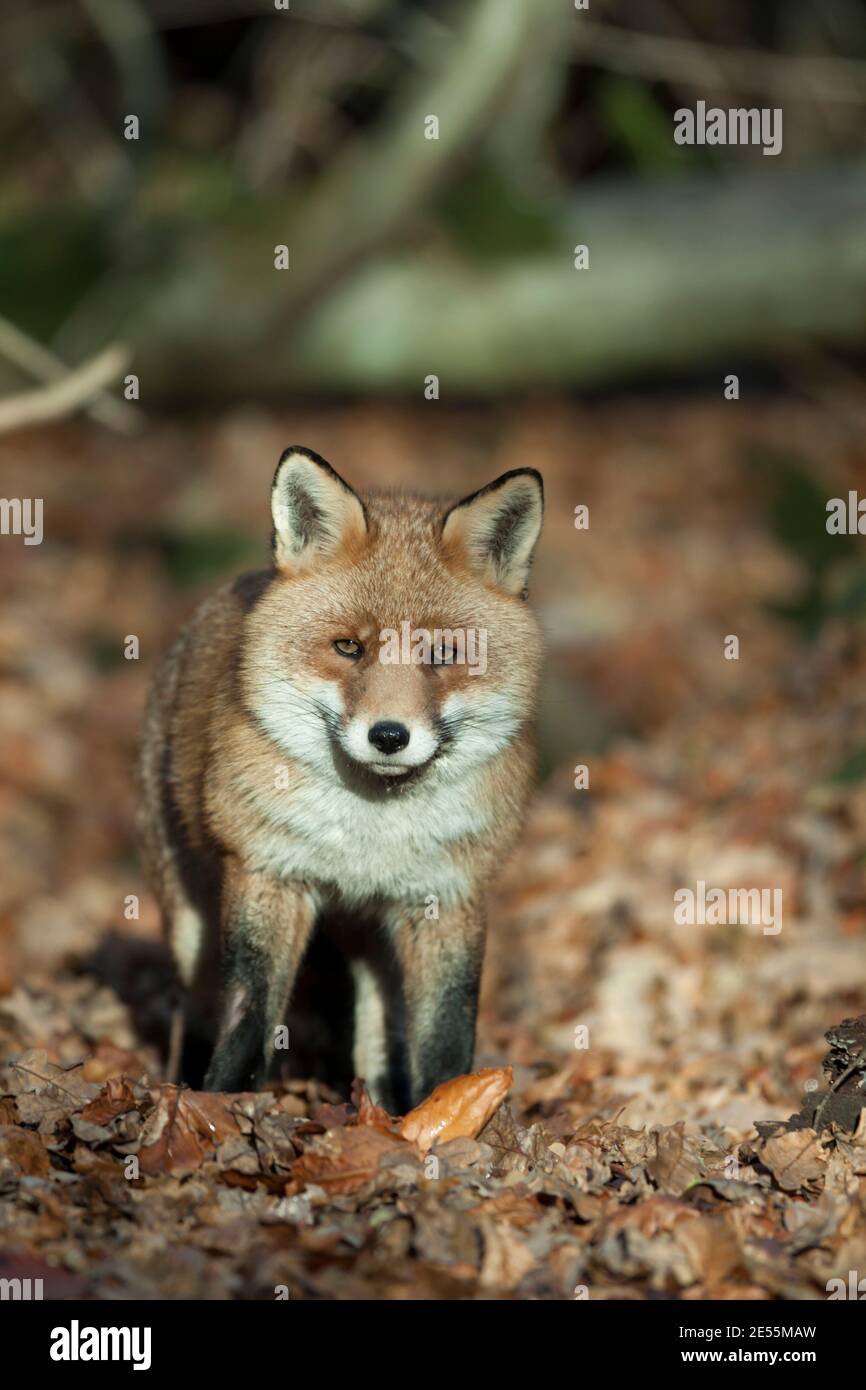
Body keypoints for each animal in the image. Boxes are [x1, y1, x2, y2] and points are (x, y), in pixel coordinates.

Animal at [137, 447, 544, 1109]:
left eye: (442, 654)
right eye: (349, 647)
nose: (389, 736)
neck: (370, 837)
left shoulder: (449, 895)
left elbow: (445, 1035)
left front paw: (455, 1114)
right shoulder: (268, 873)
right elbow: (248, 1017)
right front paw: (225, 1105)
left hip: (372, 938)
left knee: (376, 1026)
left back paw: (377, 1104)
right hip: (191, 923)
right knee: (197, 1008)